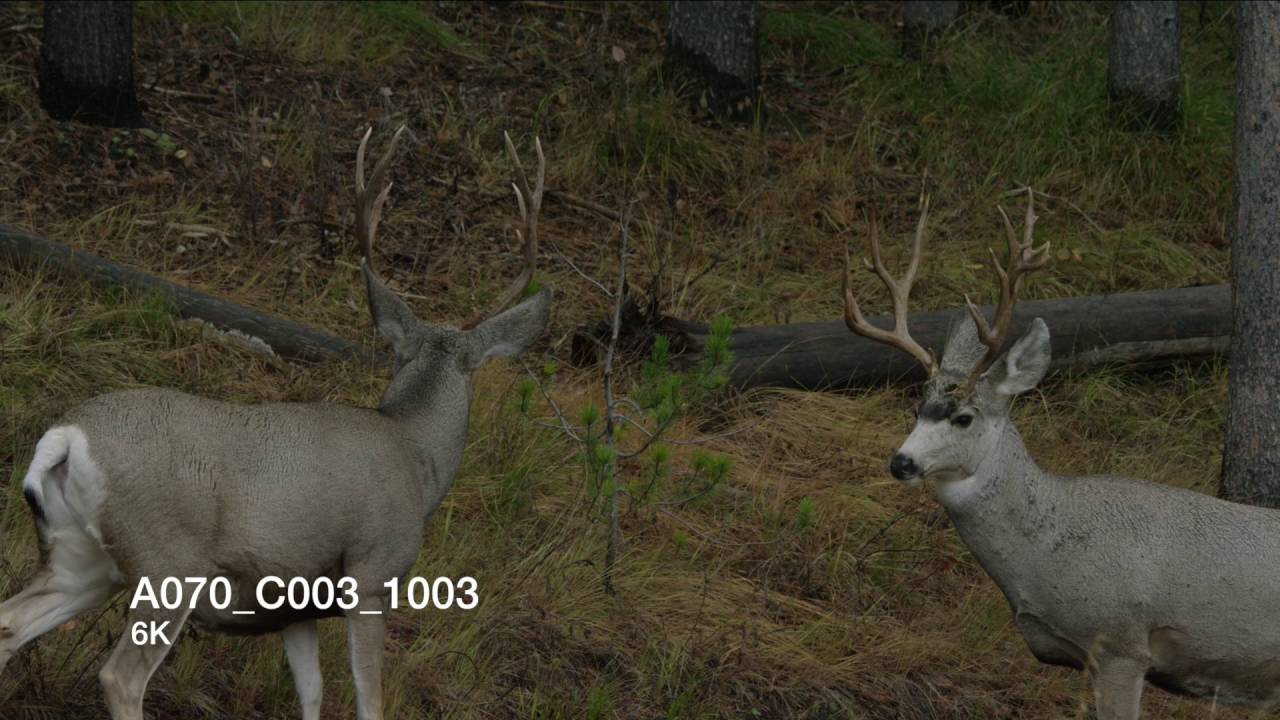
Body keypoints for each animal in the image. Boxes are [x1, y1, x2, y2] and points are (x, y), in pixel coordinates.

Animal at [1, 126, 552, 720]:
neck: (414, 453)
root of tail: (66, 438)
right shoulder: (371, 574)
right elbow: (369, 700)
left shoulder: (295, 605)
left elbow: (311, 692)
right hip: (169, 562)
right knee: (120, 675)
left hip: (80, 559)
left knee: (9, 623)